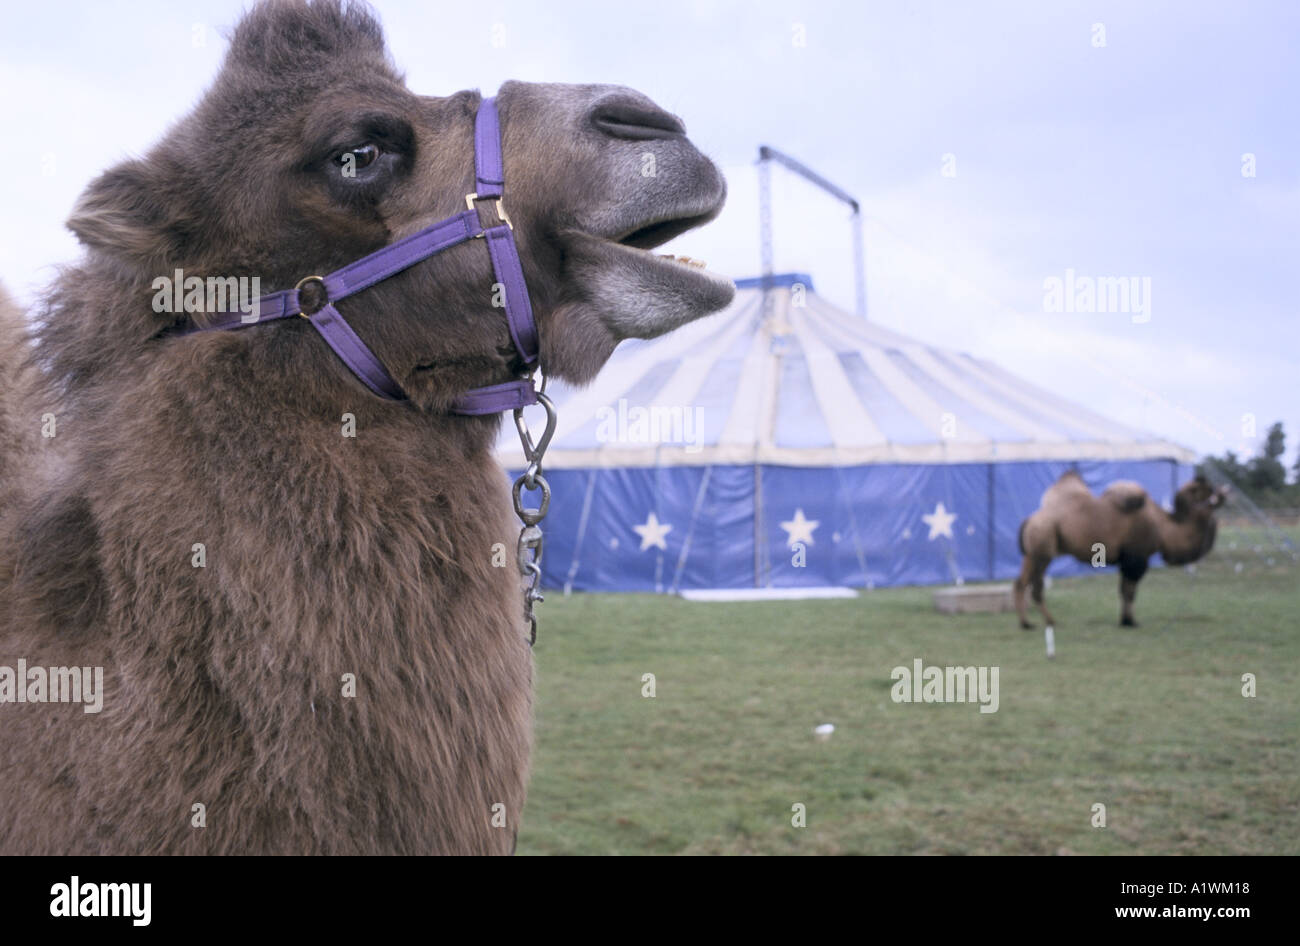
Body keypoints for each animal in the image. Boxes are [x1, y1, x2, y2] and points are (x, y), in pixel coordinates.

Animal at [1014, 471, 1226, 630]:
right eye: (1207, 490)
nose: (1224, 492)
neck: (1162, 526)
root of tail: (1029, 520)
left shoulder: (1126, 559)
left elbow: (1123, 589)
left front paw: (1124, 620)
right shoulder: (1137, 557)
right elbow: (1131, 590)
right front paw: (1131, 621)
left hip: (1032, 553)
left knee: (1023, 582)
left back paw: (1031, 622)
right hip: (1042, 551)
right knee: (1033, 585)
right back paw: (1043, 622)